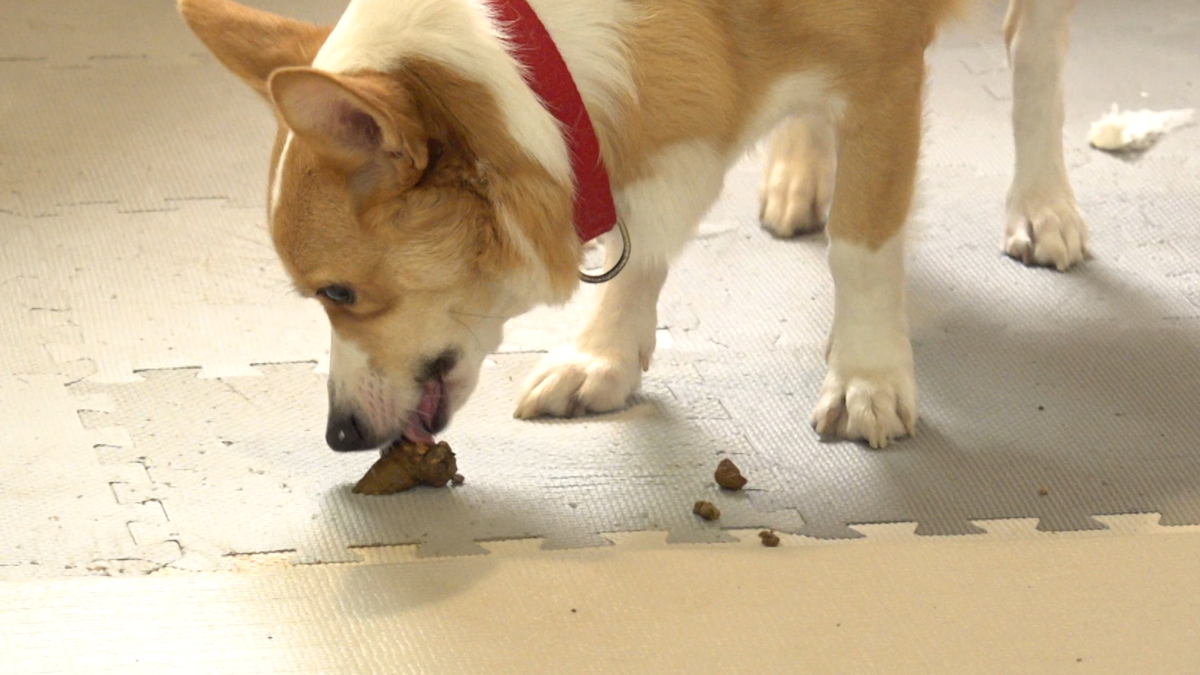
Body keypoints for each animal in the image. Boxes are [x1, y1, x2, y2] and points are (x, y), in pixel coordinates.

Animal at [179, 0, 1084, 452]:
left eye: (338, 292)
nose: (338, 436)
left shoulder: (883, 75)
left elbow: (864, 246)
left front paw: (866, 377)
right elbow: (638, 245)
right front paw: (601, 356)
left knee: (1032, 47)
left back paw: (1043, 203)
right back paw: (798, 175)